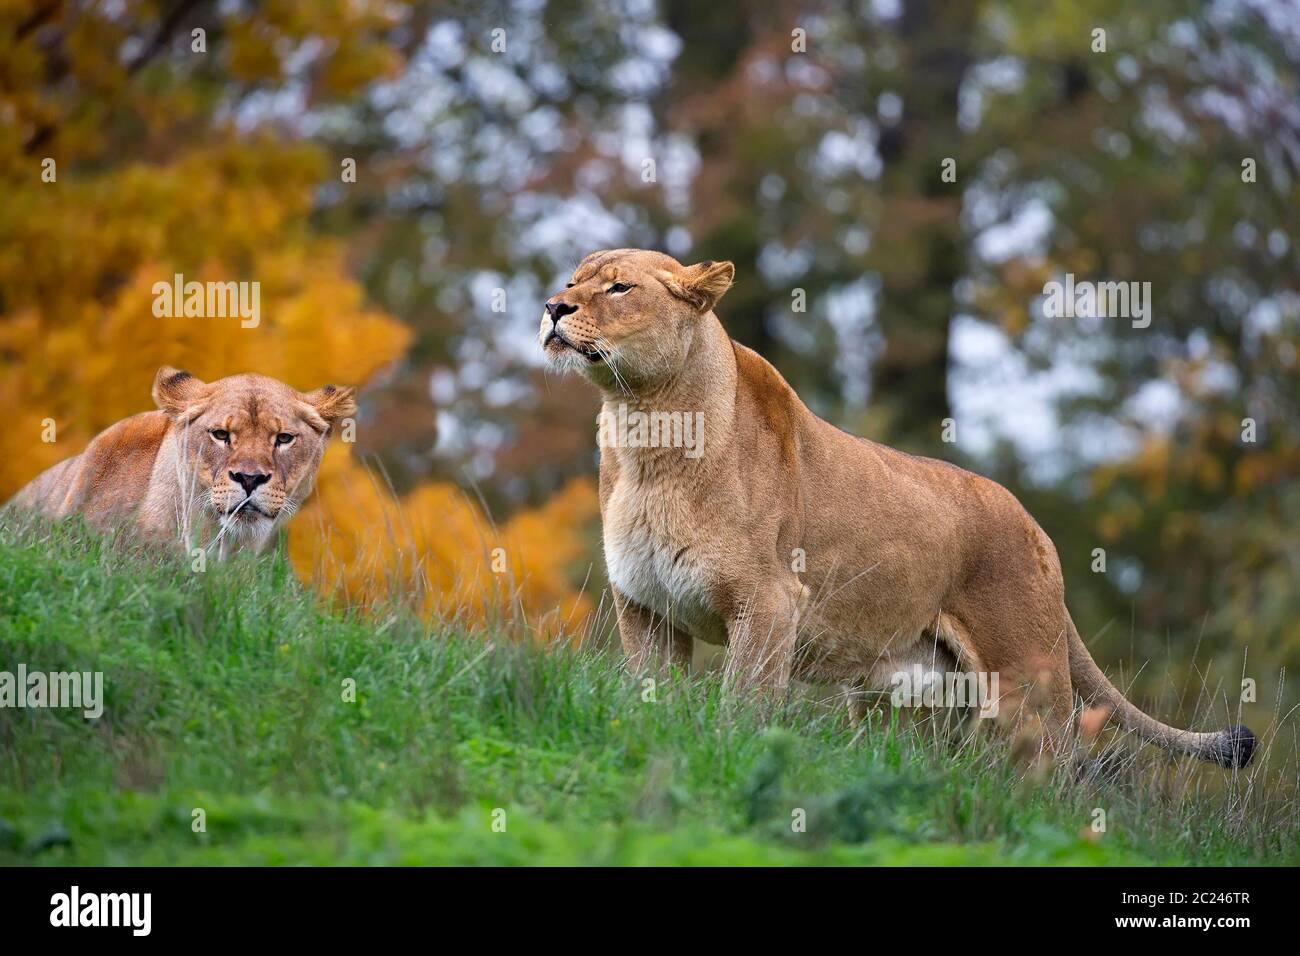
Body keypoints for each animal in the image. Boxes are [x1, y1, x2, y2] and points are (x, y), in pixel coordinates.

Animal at [540, 248, 1255, 769]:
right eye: (572, 280)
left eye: (619, 288)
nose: (551, 306)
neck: (645, 430)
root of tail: (1038, 532)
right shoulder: (645, 605)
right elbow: (648, 697)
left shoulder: (769, 602)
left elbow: (742, 705)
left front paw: (727, 751)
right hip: (909, 699)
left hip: (1029, 680)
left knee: (1056, 768)